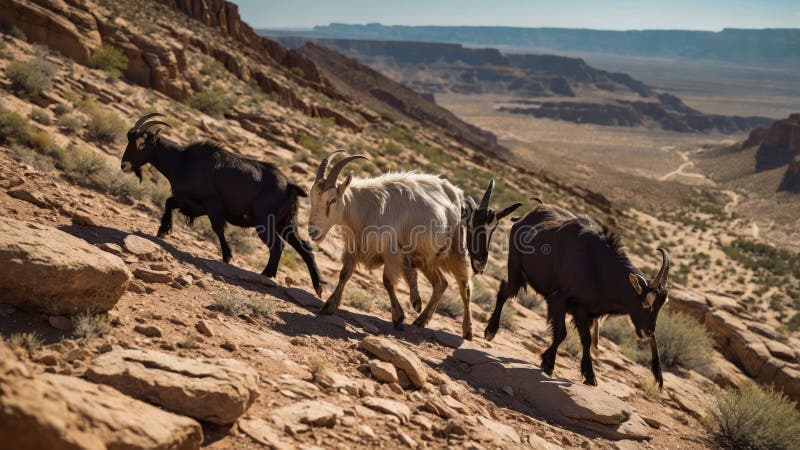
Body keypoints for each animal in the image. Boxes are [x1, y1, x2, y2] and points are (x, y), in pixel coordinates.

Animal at [120, 113, 323, 295]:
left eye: (140, 144)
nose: (124, 165)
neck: (182, 161)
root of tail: (289, 186)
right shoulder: (191, 202)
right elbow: (169, 203)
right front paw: (163, 230)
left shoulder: (212, 204)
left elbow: (217, 228)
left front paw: (227, 257)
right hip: (285, 223)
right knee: (304, 247)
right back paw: (318, 287)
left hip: (265, 222)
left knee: (277, 246)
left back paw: (267, 274)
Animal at [307, 151, 518, 339]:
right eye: (312, 197)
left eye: (332, 199)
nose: (312, 232)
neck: (366, 208)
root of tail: (459, 196)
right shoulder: (354, 248)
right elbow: (344, 274)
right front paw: (329, 305)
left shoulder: (392, 253)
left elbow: (388, 282)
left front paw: (398, 317)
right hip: (428, 257)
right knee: (441, 283)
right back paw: (421, 318)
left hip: (456, 251)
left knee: (464, 288)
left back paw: (467, 330)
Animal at [484, 203, 670, 388]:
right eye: (646, 302)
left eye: (661, 305)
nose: (648, 332)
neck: (598, 268)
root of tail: (524, 218)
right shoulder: (559, 299)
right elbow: (561, 333)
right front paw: (548, 363)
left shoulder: (583, 310)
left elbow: (586, 339)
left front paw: (589, 375)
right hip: (516, 268)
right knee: (504, 291)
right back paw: (490, 331)